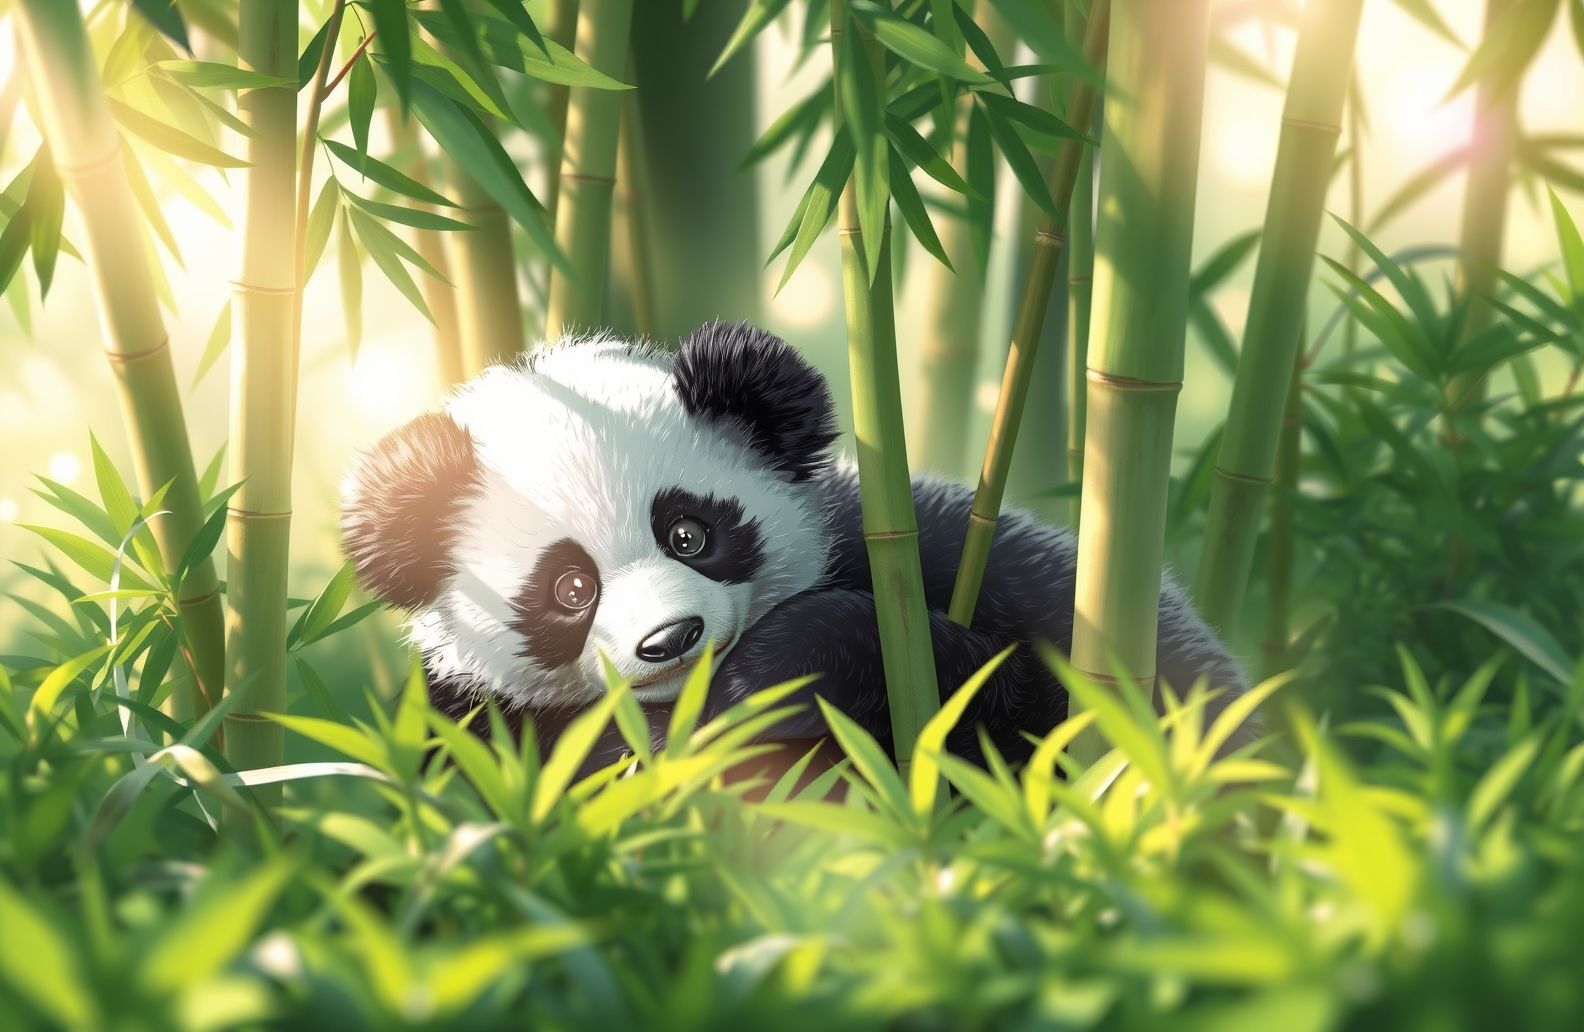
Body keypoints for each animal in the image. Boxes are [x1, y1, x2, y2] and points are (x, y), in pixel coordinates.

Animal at [340, 321, 1249, 774]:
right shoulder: (479, 728)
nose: (671, 639)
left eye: (689, 533)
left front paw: (777, 675)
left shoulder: (947, 553)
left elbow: (1034, 701)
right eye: (570, 589)